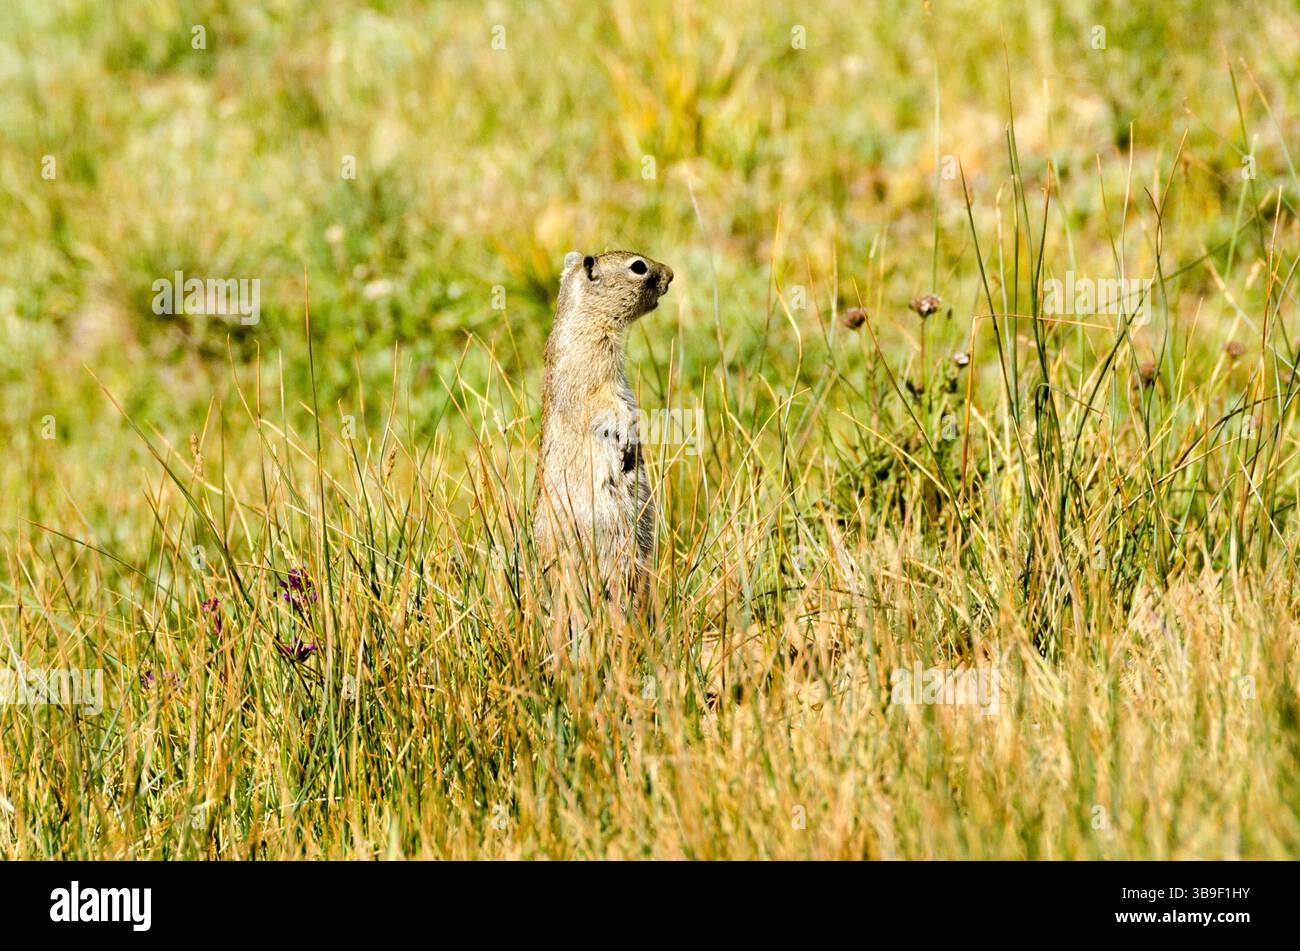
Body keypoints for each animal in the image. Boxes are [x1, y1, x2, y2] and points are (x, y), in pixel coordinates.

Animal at [534, 250, 674, 622]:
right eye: (638, 266)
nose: (670, 274)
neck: (584, 316)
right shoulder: (597, 375)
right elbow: (613, 408)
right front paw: (628, 442)